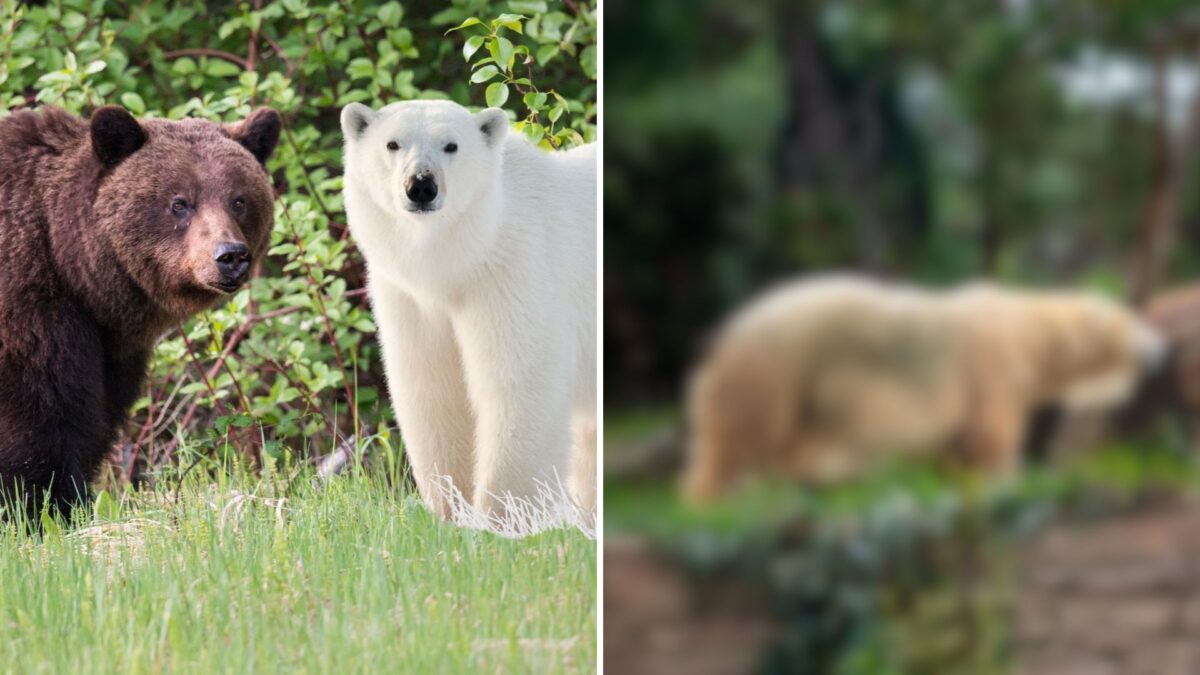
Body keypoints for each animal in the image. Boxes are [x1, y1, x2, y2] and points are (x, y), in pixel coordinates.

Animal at [0, 104, 280, 518]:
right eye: (179, 203)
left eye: (239, 200)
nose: (230, 256)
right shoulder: (29, 304)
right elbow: (44, 415)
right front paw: (42, 505)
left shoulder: (112, 348)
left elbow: (98, 413)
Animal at [339, 100, 596, 524]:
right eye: (392, 143)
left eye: (451, 145)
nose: (421, 186)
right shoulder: (411, 297)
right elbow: (434, 389)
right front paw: (451, 514)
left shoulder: (513, 273)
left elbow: (519, 383)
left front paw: (505, 521)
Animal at [682, 275, 1166, 502]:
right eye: (1139, 322)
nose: (1165, 350)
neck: (1030, 327)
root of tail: (721, 341)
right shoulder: (994, 366)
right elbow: (992, 432)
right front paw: (1008, 479)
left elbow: (955, 451)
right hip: (778, 370)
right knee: (740, 441)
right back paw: (713, 498)